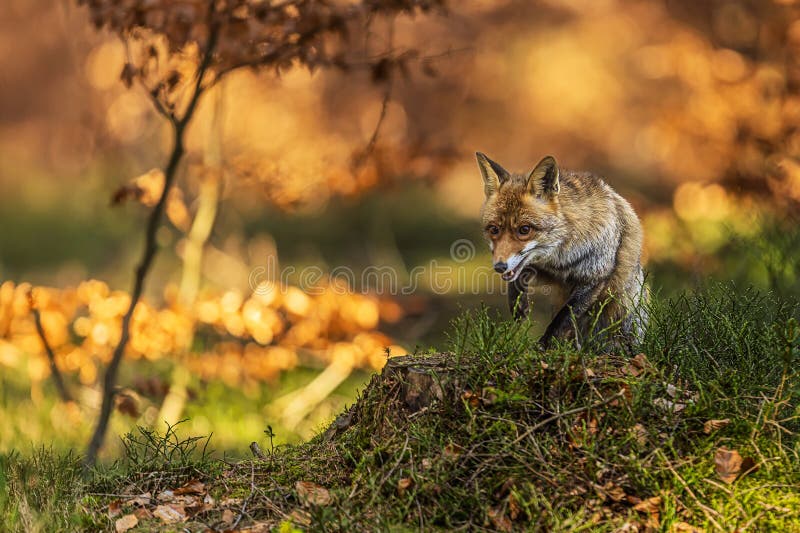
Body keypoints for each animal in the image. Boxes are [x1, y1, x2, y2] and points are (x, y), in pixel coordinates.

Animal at [476, 152, 648, 349]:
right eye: (494, 229)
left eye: (524, 229)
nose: (499, 267)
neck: (561, 256)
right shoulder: (551, 275)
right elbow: (522, 273)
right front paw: (518, 303)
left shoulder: (594, 277)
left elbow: (565, 316)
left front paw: (544, 344)